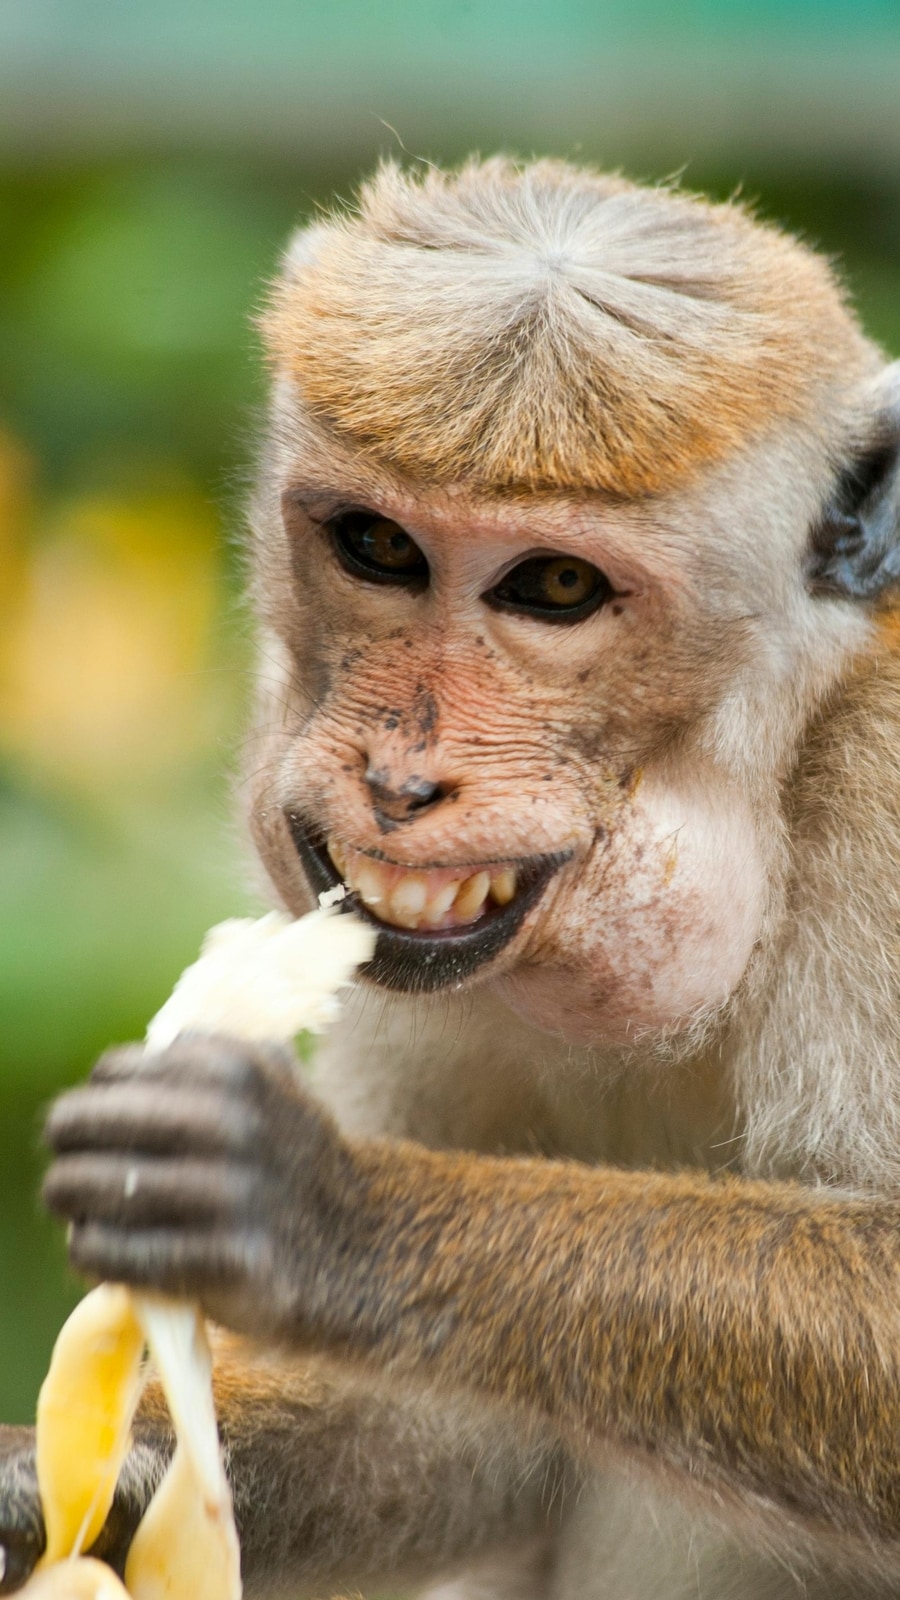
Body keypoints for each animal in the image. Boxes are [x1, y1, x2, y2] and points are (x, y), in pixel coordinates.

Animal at [2, 156, 900, 1600]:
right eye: (379, 548)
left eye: (556, 585)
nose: (398, 780)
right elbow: (467, 1433)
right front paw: (48, 1486)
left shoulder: (885, 796)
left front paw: (329, 1212)